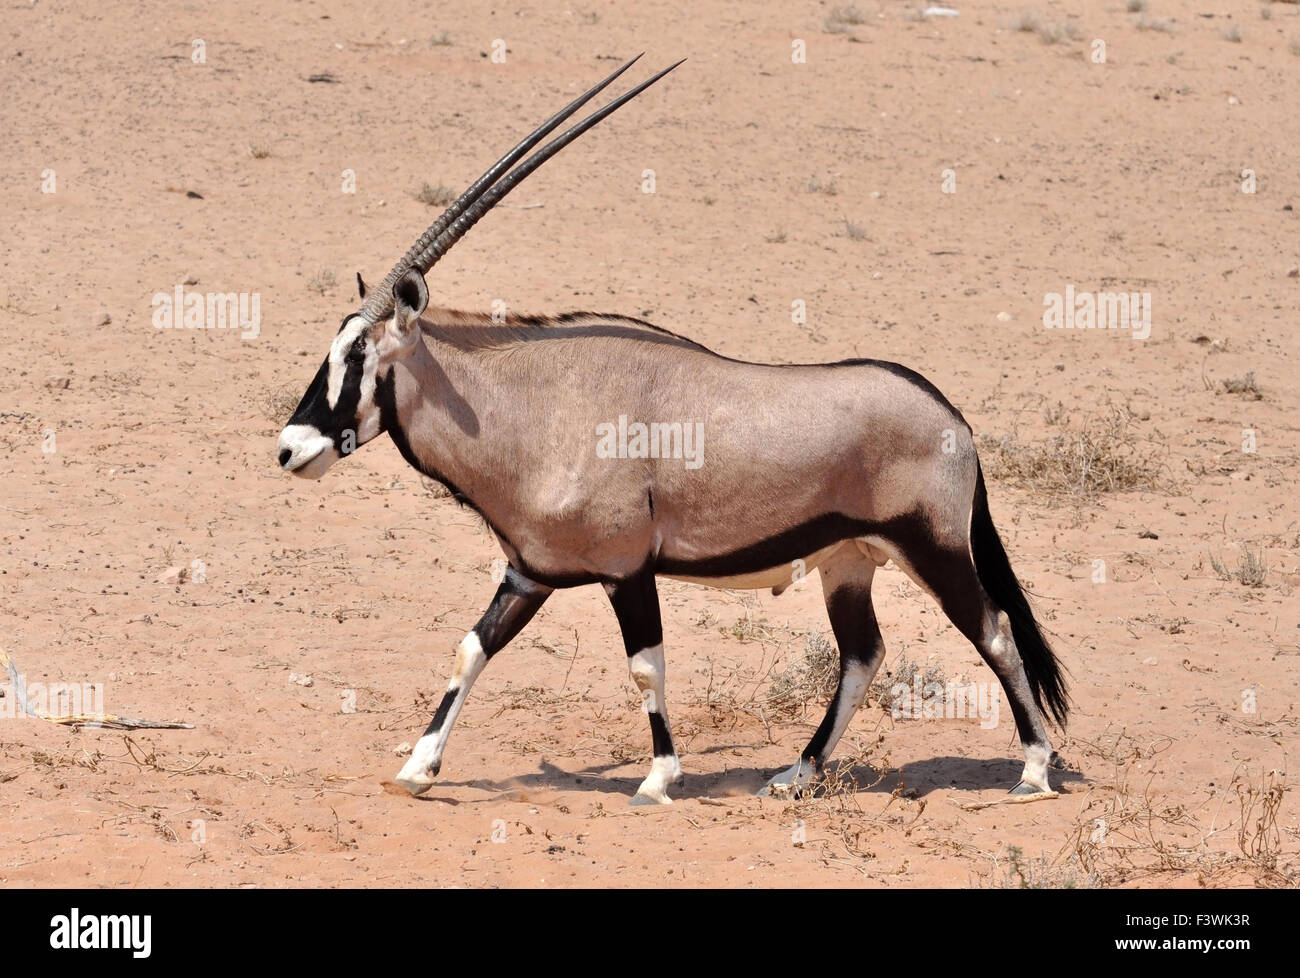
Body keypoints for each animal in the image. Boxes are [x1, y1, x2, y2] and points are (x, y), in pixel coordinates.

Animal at [277, 57, 1068, 805]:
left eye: (357, 354)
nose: (291, 449)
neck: (533, 406)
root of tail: (952, 416)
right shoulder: (529, 572)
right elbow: (472, 648)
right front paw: (417, 769)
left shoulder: (626, 569)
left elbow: (645, 667)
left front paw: (659, 778)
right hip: (849, 561)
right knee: (863, 653)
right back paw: (797, 774)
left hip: (934, 549)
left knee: (994, 631)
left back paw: (1033, 770)